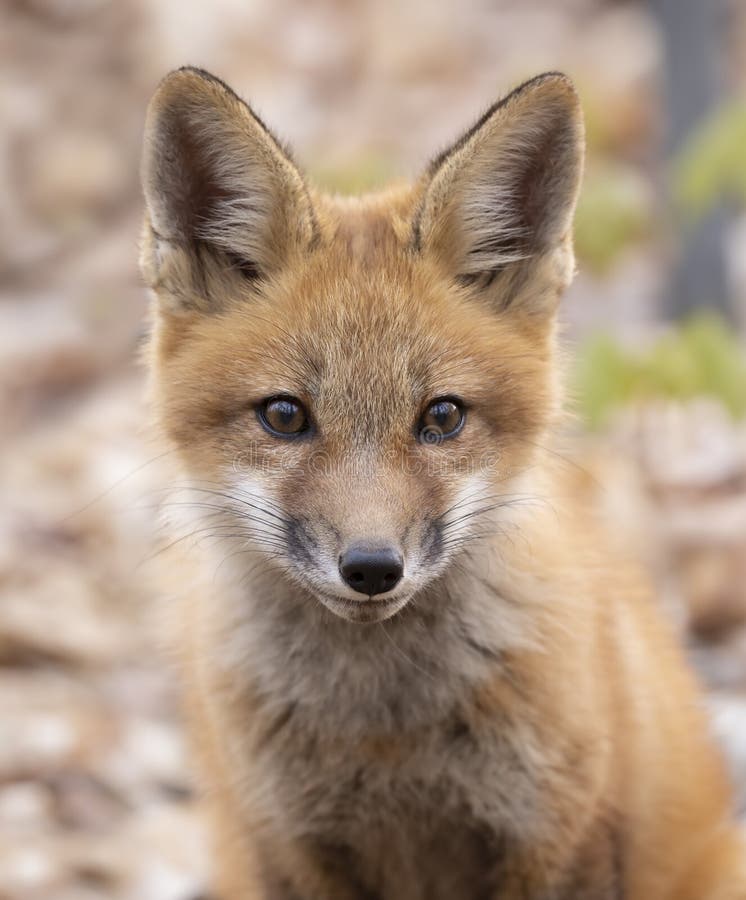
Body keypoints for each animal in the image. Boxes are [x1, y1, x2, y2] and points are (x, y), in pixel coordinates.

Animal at [139, 67, 746, 899]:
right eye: (286, 416)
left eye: (443, 416)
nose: (370, 568)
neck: (387, 733)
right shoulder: (293, 854)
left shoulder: (561, 839)